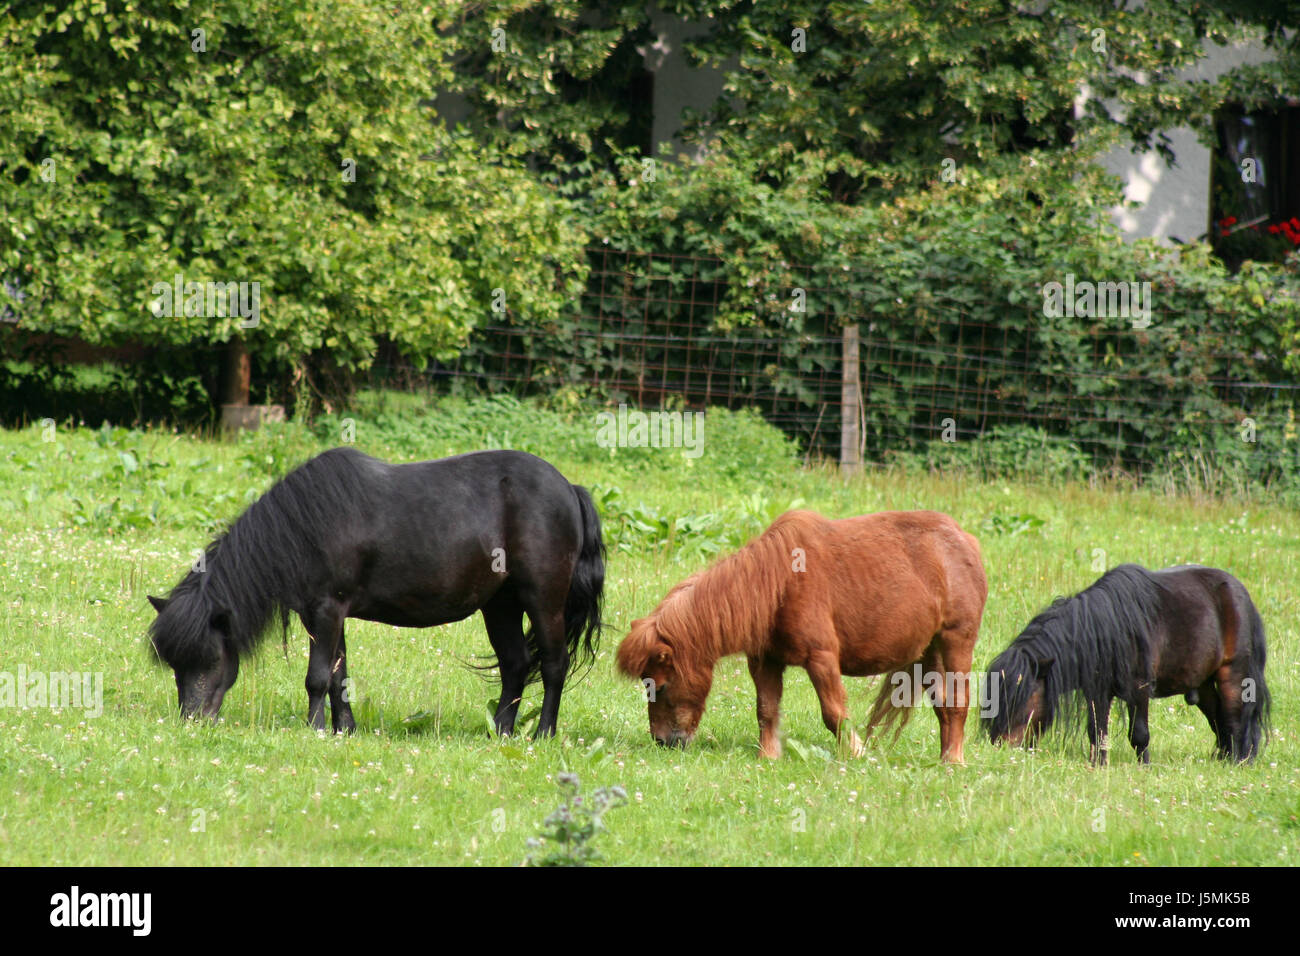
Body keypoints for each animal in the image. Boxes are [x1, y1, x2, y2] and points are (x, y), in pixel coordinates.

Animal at [148, 446, 604, 736]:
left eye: (210, 658)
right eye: (173, 663)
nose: (192, 721)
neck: (303, 525)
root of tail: (569, 488)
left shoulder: (326, 609)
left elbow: (317, 677)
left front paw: (315, 729)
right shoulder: (325, 614)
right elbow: (338, 674)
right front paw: (343, 729)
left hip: (543, 600)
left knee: (553, 665)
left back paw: (543, 734)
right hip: (501, 606)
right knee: (515, 665)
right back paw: (502, 733)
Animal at [615, 509, 987, 762]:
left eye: (660, 686)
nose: (663, 741)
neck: (779, 584)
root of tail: (966, 541)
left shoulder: (820, 658)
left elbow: (834, 713)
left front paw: (856, 754)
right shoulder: (764, 662)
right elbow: (766, 710)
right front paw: (769, 756)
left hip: (957, 641)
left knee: (957, 704)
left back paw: (954, 762)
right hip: (929, 652)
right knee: (943, 706)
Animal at [983, 564, 1270, 764]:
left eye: (1022, 700)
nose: (999, 746)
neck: (1109, 626)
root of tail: (1240, 592)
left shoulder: (1139, 689)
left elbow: (1139, 733)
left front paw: (1144, 766)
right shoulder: (1097, 693)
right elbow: (1096, 731)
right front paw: (1098, 765)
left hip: (1233, 674)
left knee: (1234, 720)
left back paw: (1237, 761)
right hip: (1203, 685)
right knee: (1218, 721)